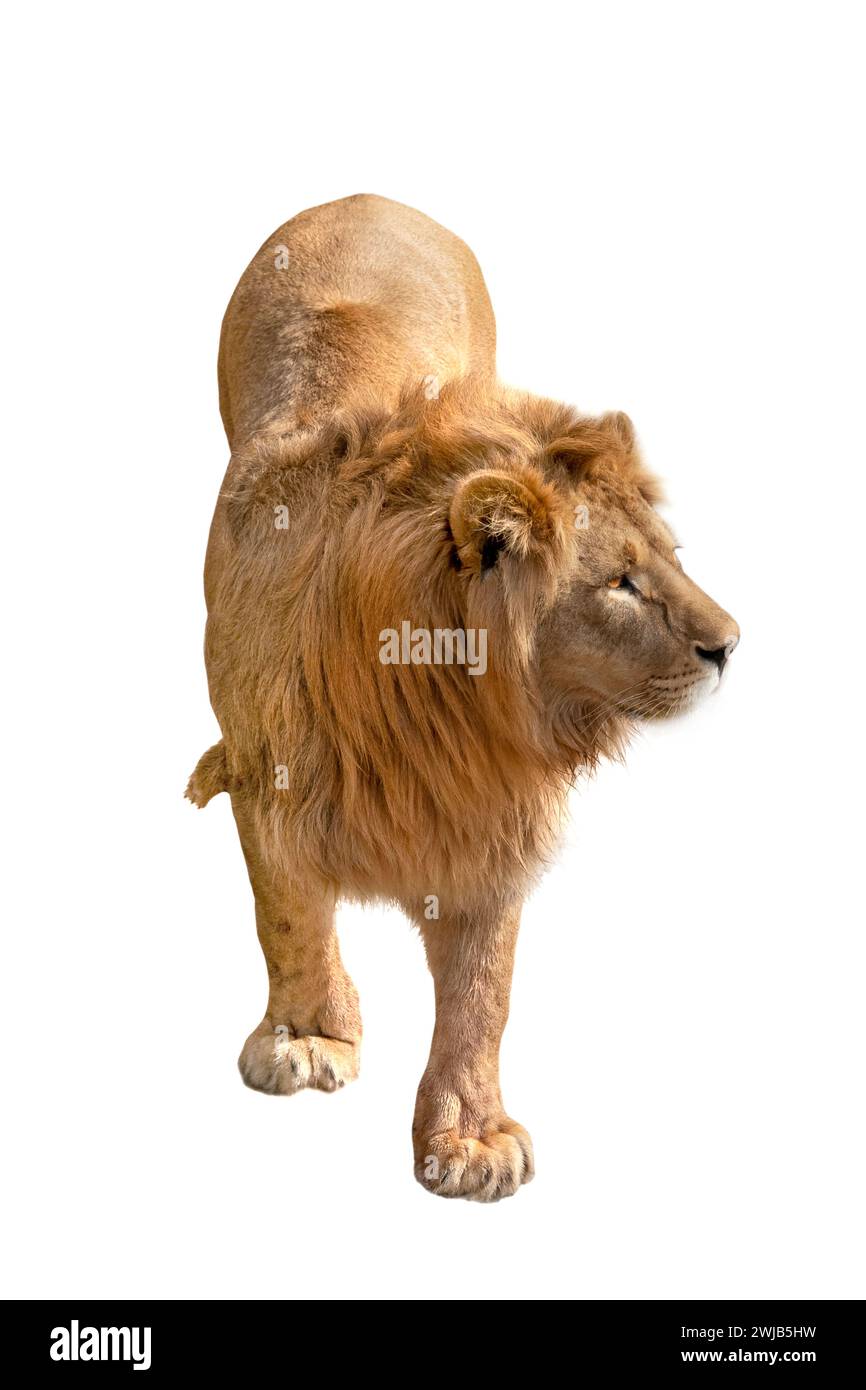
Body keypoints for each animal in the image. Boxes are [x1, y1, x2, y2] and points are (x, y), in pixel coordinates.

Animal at [188, 194, 739, 1201]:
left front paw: (470, 1138)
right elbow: (288, 915)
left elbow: (484, 992)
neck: (447, 711)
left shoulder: (489, 819)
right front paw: (309, 1037)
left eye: (673, 560)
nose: (734, 645)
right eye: (620, 584)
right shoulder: (265, 777)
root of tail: (364, 197)